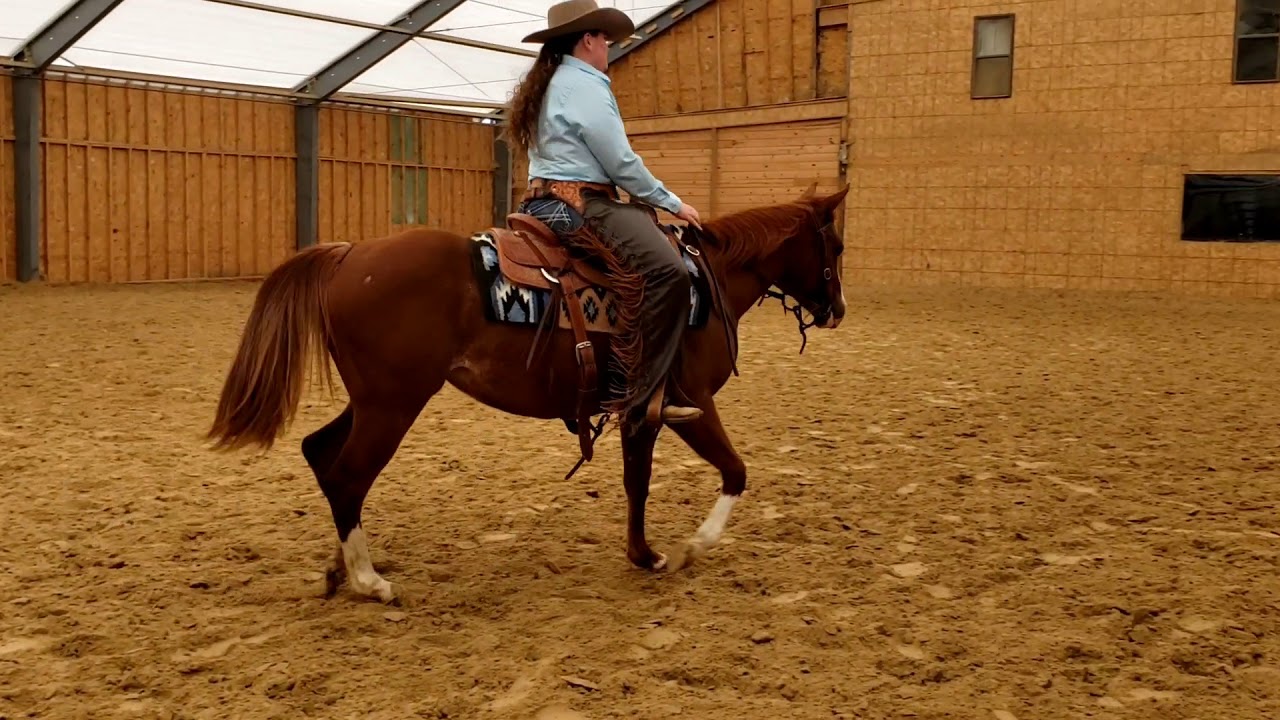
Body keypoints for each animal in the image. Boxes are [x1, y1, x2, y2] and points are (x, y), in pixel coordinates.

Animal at [205, 183, 850, 603]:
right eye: (837, 247)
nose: (838, 310)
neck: (702, 283)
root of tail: (349, 255)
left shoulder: (641, 412)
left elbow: (637, 483)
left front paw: (643, 555)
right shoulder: (689, 404)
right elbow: (735, 471)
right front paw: (692, 547)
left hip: (370, 401)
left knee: (320, 452)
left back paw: (337, 571)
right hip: (392, 405)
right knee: (348, 474)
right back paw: (369, 582)